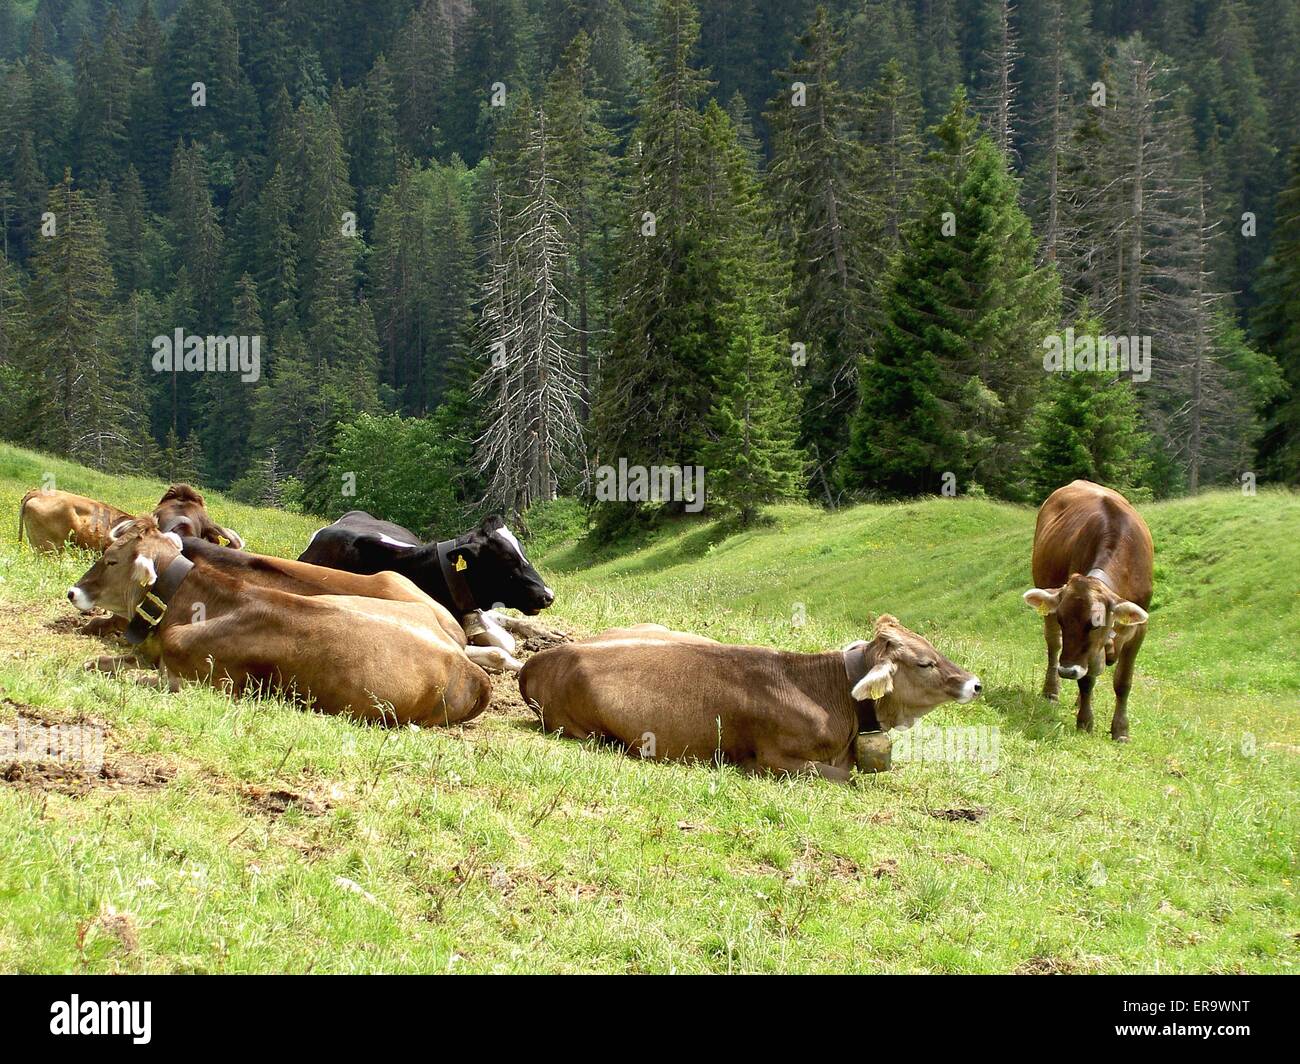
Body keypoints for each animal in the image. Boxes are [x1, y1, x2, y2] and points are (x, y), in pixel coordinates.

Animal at [518, 616, 981, 782]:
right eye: (925, 662)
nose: (975, 683)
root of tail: (539, 660)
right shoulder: (775, 758)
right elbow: (843, 778)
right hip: (587, 730)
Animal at [1023, 480, 1153, 741]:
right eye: (1063, 620)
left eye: (1095, 623)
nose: (1067, 670)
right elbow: (1087, 680)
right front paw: (1085, 721)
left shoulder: (1140, 627)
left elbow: (1123, 681)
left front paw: (1121, 730)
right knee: (1054, 646)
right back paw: (1052, 691)